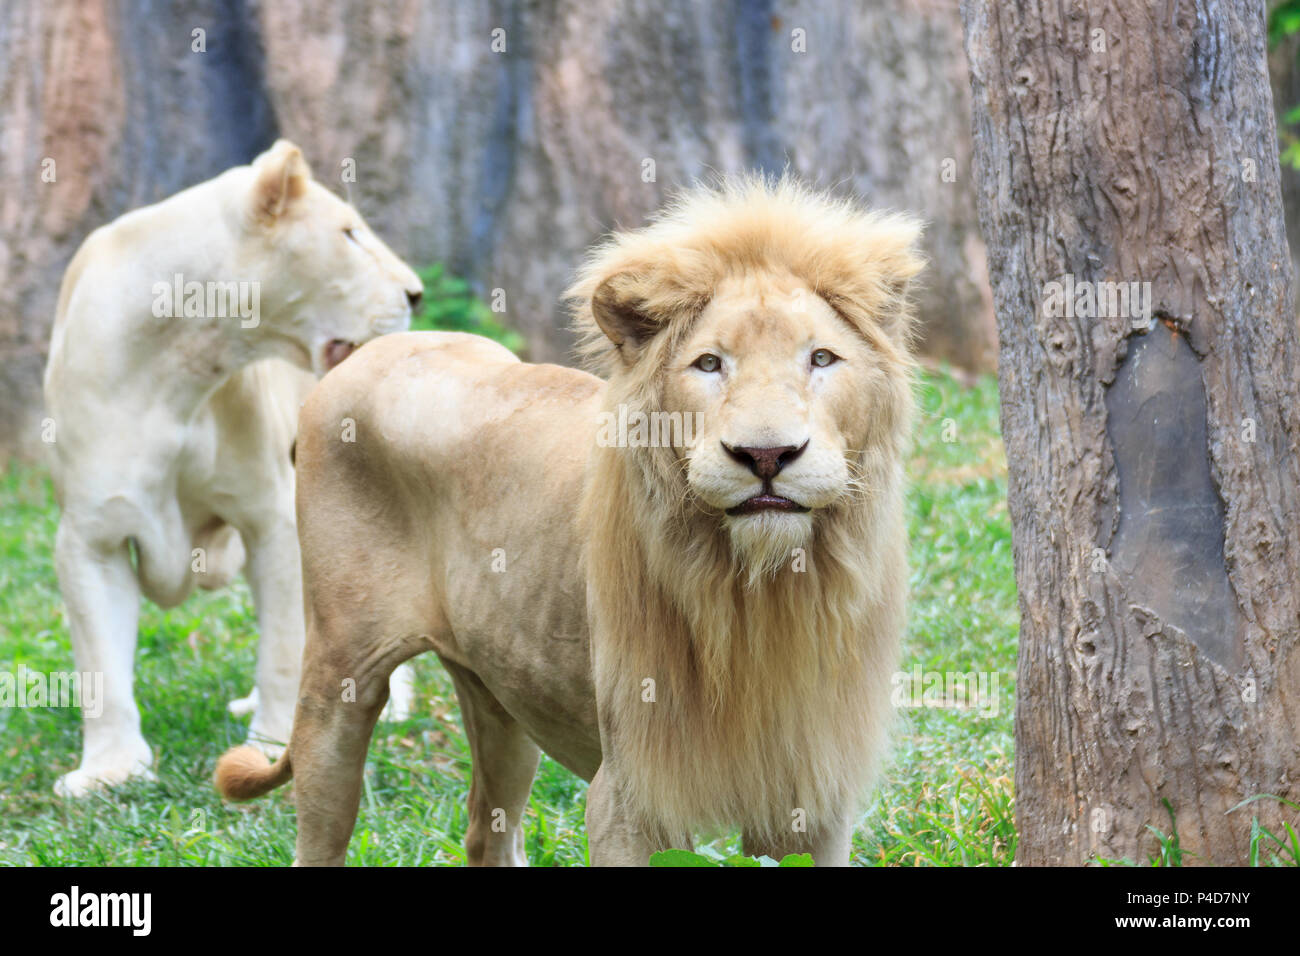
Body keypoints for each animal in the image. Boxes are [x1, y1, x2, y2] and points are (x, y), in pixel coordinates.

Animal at [44, 140, 421, 798]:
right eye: (349, 234)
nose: (417, 293)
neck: (179, 366)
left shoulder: (273, 517)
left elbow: (281, 649)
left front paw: (269, 744)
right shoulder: (91, 535)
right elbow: (99, 663)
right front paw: (110, 771)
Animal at [215, 176, 924, 866]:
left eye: (822, 359)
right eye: (709, 363)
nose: (766, 456)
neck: (757, 591)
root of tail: (358, 359)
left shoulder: (812, 798)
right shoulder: (629, 796)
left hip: (499, 693)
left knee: (487, 833)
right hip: (340, 675)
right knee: (322, 830)